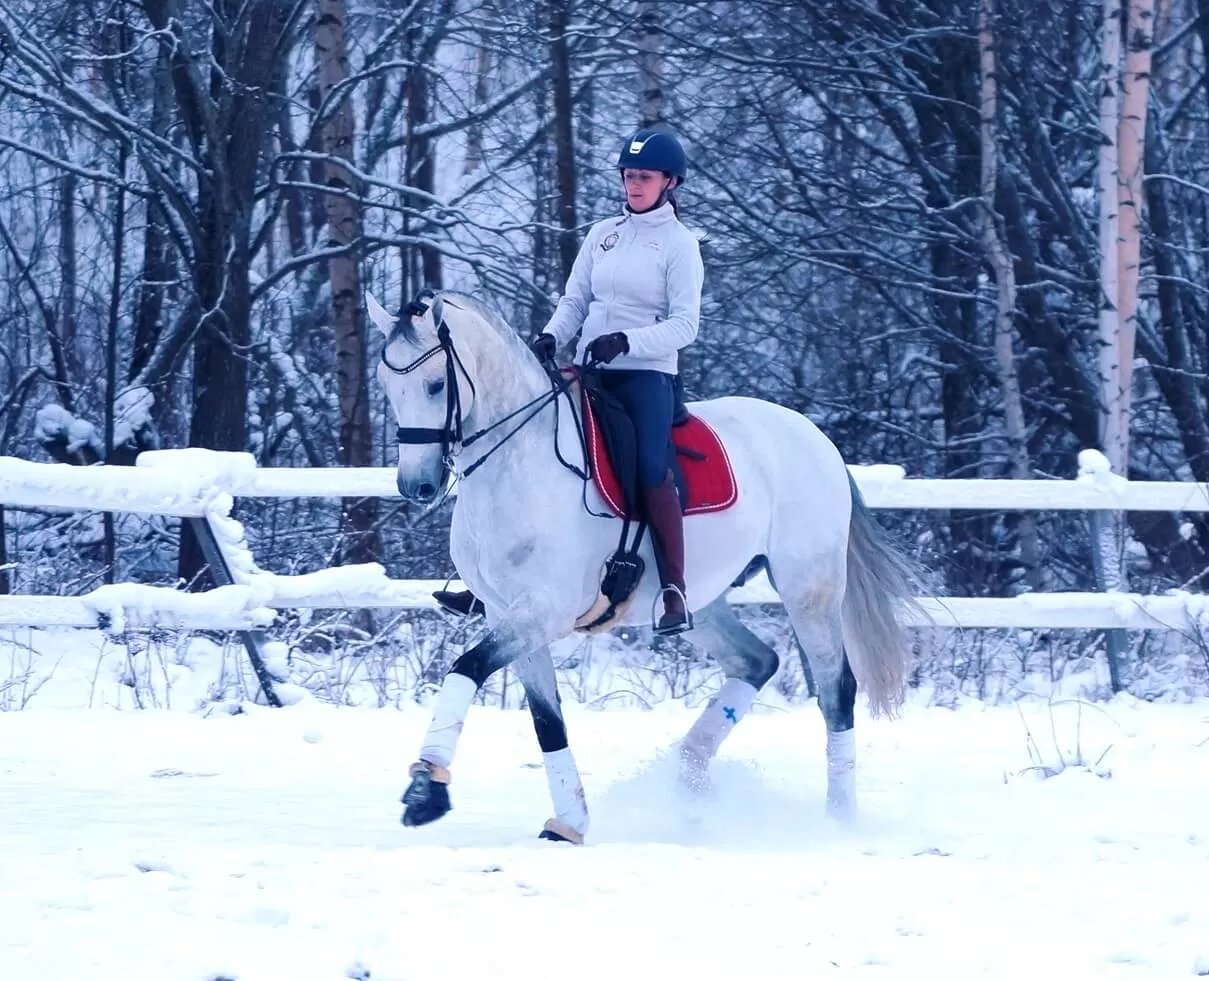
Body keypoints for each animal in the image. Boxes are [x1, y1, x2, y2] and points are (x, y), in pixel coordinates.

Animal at [365, 285, 914, 841]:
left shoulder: (543, 612)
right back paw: (687, 776)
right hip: (701, 601)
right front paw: (569, 824)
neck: (521, 462)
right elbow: (547, 721)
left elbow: (466, 669)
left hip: (809, 590)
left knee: (835, 689)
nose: (416, 486)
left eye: (436, 385)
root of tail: (817, 439)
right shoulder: (508, 615)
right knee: (757, 661)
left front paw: (426, 790)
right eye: (387, 384)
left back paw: (838, 819)